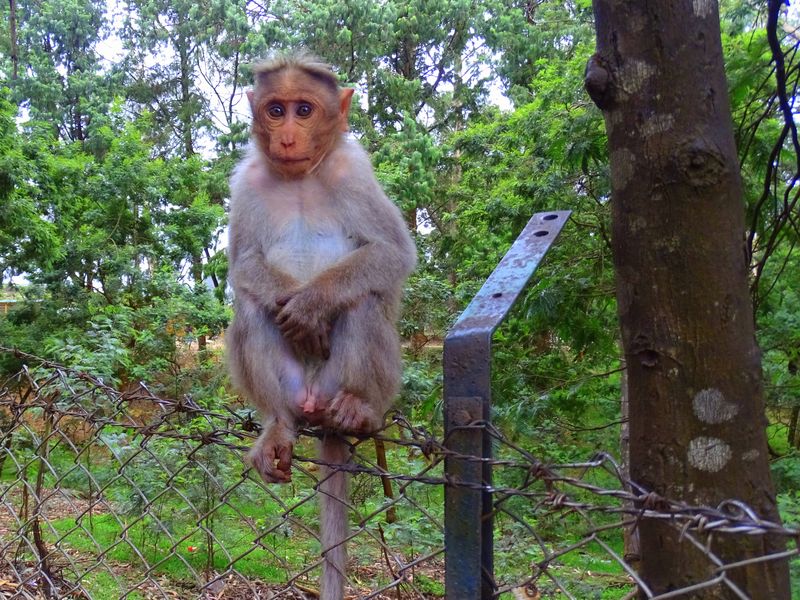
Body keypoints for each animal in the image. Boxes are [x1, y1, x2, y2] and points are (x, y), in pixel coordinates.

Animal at [225, 52, 416, 600]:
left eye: (304, 109)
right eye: (276, 110)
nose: (287, 136)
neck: (301, 177)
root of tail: (316, 401)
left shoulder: (355, 172)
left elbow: (391, 253)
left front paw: (311, 306)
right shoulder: (246, 181)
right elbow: (245, 265)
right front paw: (294, 305)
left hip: (343, 383)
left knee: (364, 301)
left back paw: (359, 408)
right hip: (294, 391)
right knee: (250, 309)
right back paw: (277, 426)